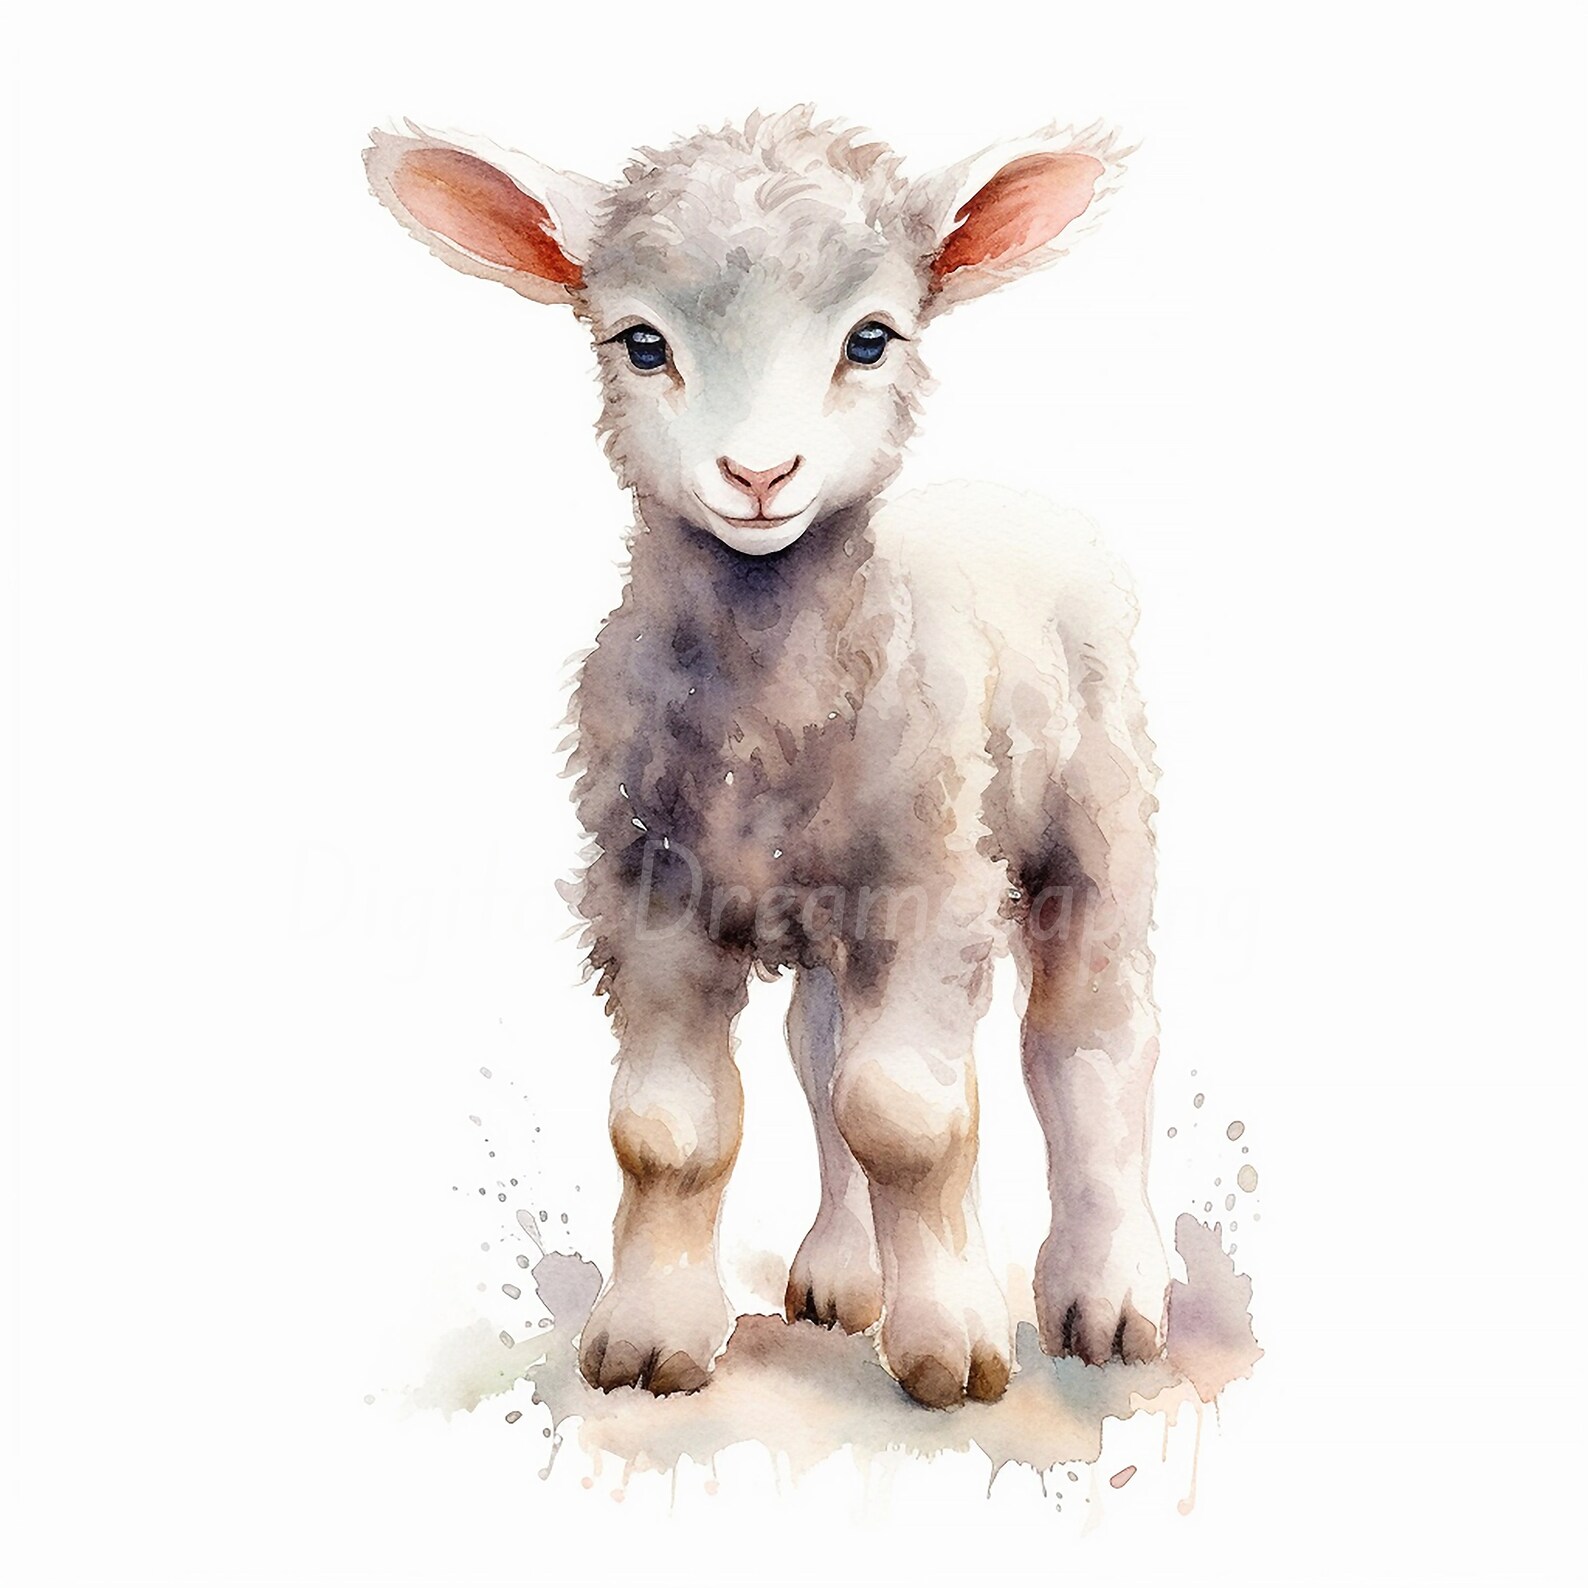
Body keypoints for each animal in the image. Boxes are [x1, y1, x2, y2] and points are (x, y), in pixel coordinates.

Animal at [364, 106, 1168, 1410]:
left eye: (872, 338)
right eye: (641, 342)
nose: (756, 475)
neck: (765, 732)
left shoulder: (930, 881)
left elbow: (907, 1115)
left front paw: (951, 1348)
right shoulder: (649, 895)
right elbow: (669, 1129)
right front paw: (648, 1342)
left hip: (1094, 814)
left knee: (1092, 1042)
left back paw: (1107, 1295)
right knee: (817, 1048)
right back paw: (841, 1278)